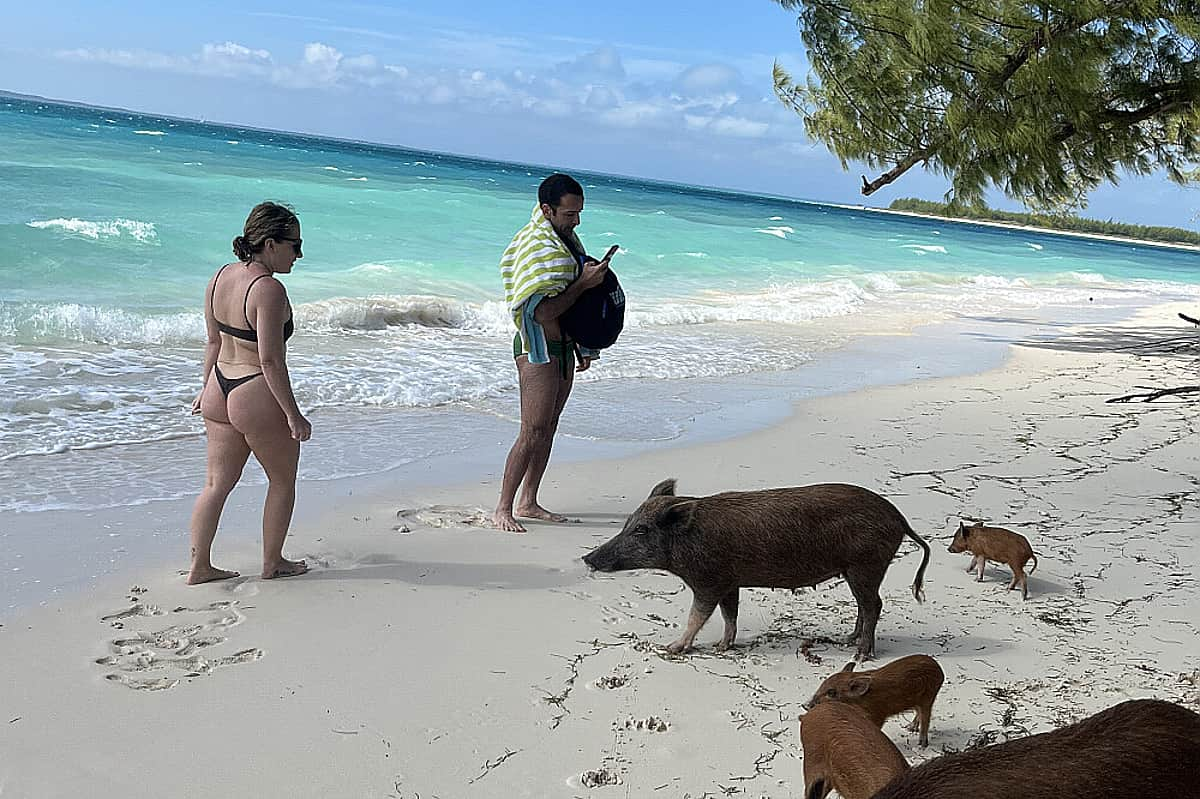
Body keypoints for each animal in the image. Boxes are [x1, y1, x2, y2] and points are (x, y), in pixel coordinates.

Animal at [576, 475, 931, 657]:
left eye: (640, 530)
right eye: (627, 524)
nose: (587, 558)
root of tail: (898, 517)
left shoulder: (709, 581)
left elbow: (696, 616)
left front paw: (672, 647)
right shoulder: (730, 582)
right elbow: (729, 615)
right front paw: (722, 646)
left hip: (865, 565)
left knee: (874, 605)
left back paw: (861, 653)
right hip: (855, 570)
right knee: (863, 605)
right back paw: (847, 639)